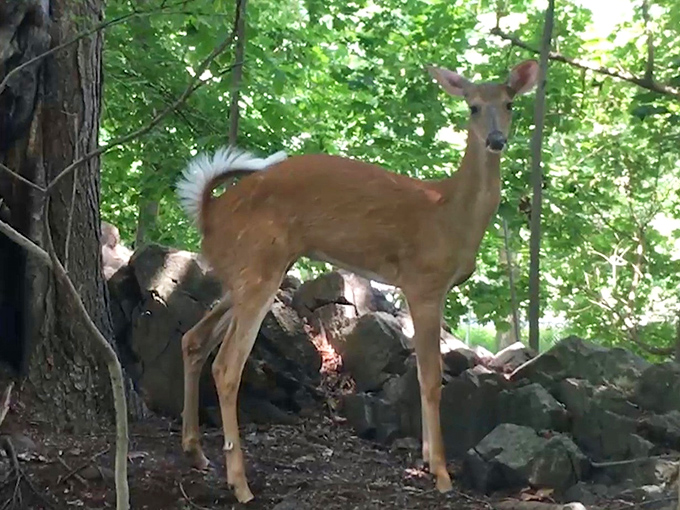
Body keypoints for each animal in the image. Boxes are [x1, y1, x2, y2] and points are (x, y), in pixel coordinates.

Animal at [175, 59, 539, 503]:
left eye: (509, 103)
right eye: (472, 106)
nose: (496, 140)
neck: (450, 213)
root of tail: (209, 211)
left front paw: (424, 458)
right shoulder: (423, 281)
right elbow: (431, 377)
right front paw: (440, 473)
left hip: (246, 272)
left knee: (194, 338)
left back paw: (196, 452)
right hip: (259, 265)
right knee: (227, 365)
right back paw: (240, 484)